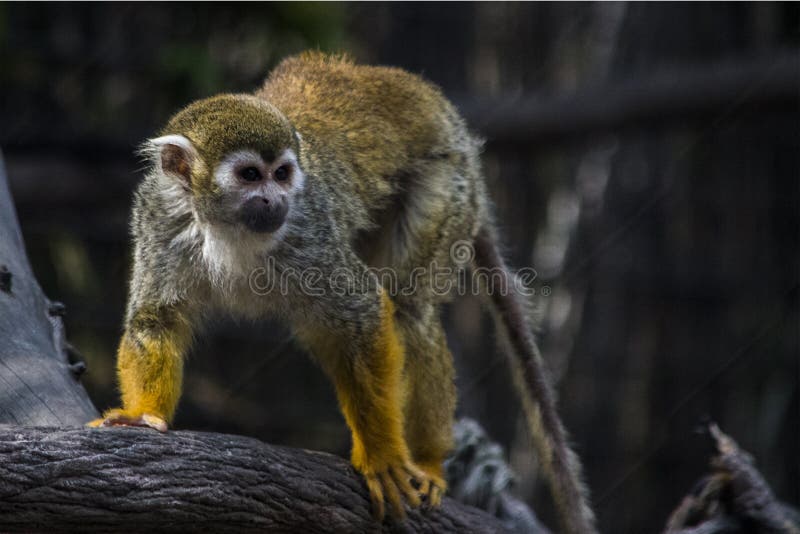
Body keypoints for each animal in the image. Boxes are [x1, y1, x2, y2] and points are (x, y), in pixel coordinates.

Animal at [87, 52, 596, 533]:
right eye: (250, 175)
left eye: (283, 174)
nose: (275, 200)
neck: (226, 227)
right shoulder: (160, 217)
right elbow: (156, 319)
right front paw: (143, 415)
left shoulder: (308, 227)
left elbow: (365, 312)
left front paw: (384, 456)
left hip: (446, 180)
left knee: (408, 307)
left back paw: (428, 462)